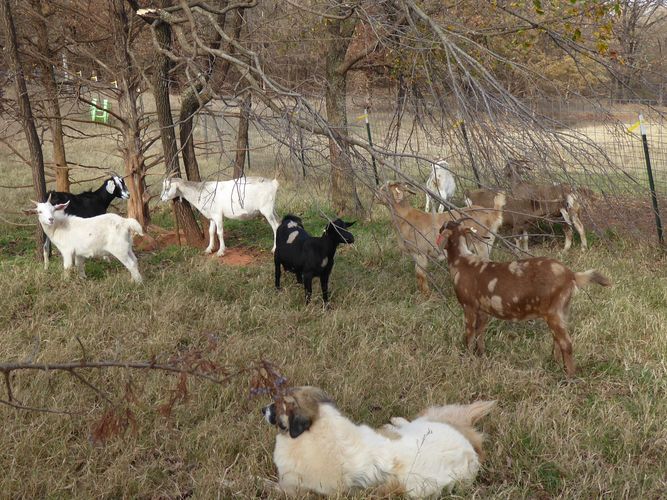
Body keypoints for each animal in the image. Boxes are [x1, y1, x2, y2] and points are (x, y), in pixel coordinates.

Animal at [377, 182, 505, 295]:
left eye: (384, 189)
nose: (376, 195)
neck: (406, 217)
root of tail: (493, 214)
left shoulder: (420, 253)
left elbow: (420, 275)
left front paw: (426, 295)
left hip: (483, 244)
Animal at [437, 220, 611, 377]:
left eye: (442, 228)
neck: (462, 261)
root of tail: (571, 275)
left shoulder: (469, 306)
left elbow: (470, 334)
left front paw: (467, 357)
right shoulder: (483, 309)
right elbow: (480, 332)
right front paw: (481, 354)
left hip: (553, 311)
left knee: (566, 343)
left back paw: (569, 376)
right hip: (562, 310)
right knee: (557, 339)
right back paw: (553, 363)